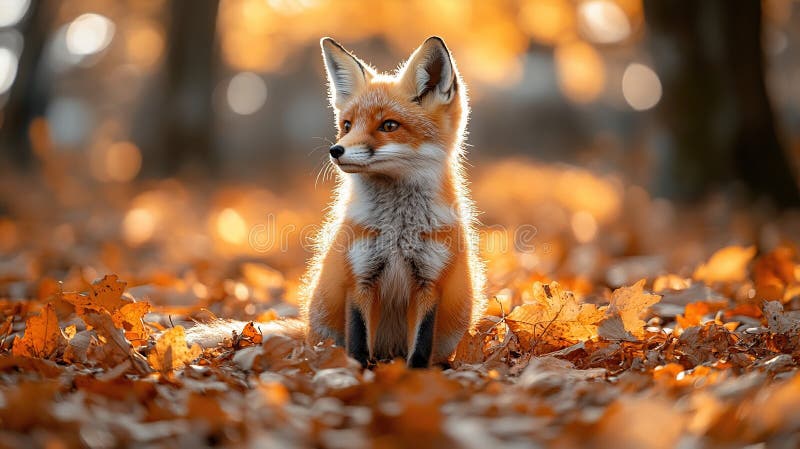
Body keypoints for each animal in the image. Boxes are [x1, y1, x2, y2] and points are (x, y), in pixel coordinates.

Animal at [186, 36, 486, 368]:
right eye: (347, 125)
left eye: (389, 126)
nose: (335, 150)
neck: (397, 230)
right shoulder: (359, 277)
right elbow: (358, 340)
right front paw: (356, 373)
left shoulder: (429, 282)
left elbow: (420, 347)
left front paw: (414, 377)